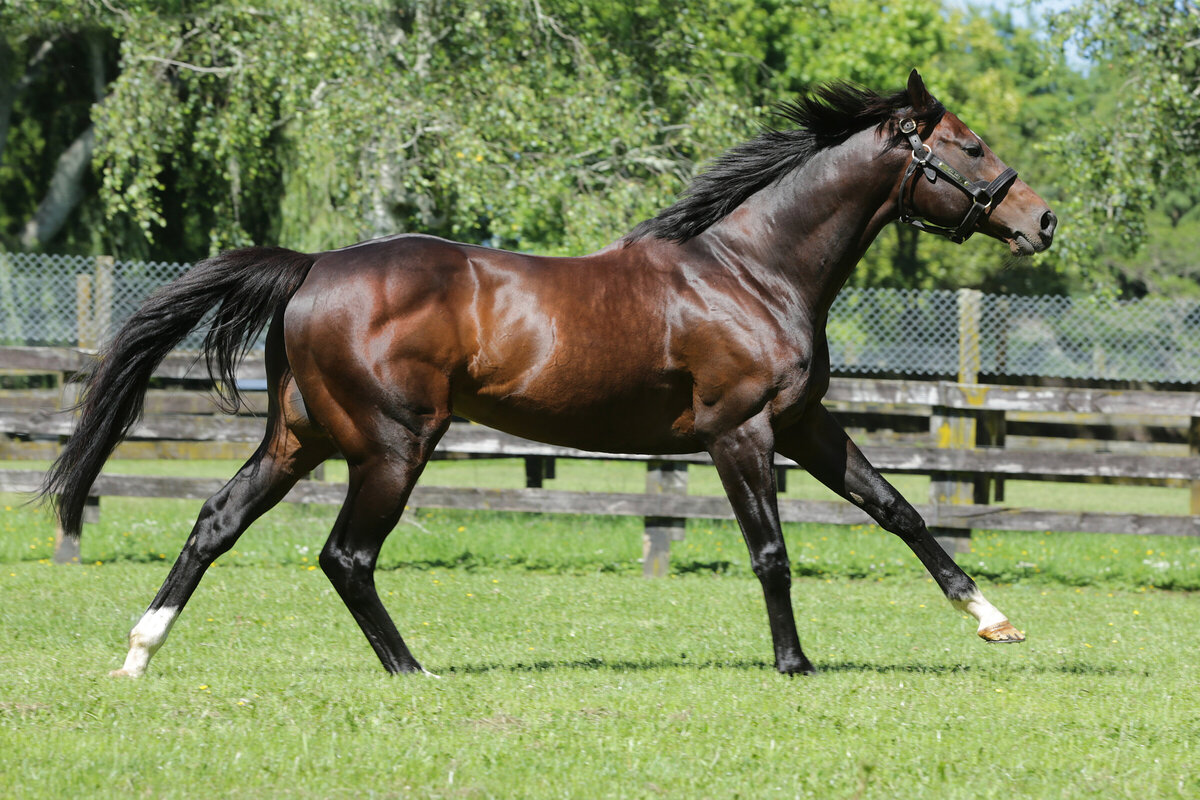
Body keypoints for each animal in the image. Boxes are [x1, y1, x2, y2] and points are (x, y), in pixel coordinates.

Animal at [43, 70, 1055, 678]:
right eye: (966, 146)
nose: (1042, 221)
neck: (753, 271)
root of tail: (312, 265)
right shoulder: (740, 433)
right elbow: (771, 551)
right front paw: (795, 665)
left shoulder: (807, 423)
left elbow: (901, 511)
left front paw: (995, 620)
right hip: (391, 446)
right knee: (346, 556)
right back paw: (412, 670)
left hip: (300, 438)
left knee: (216, 523)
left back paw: (138, 653)